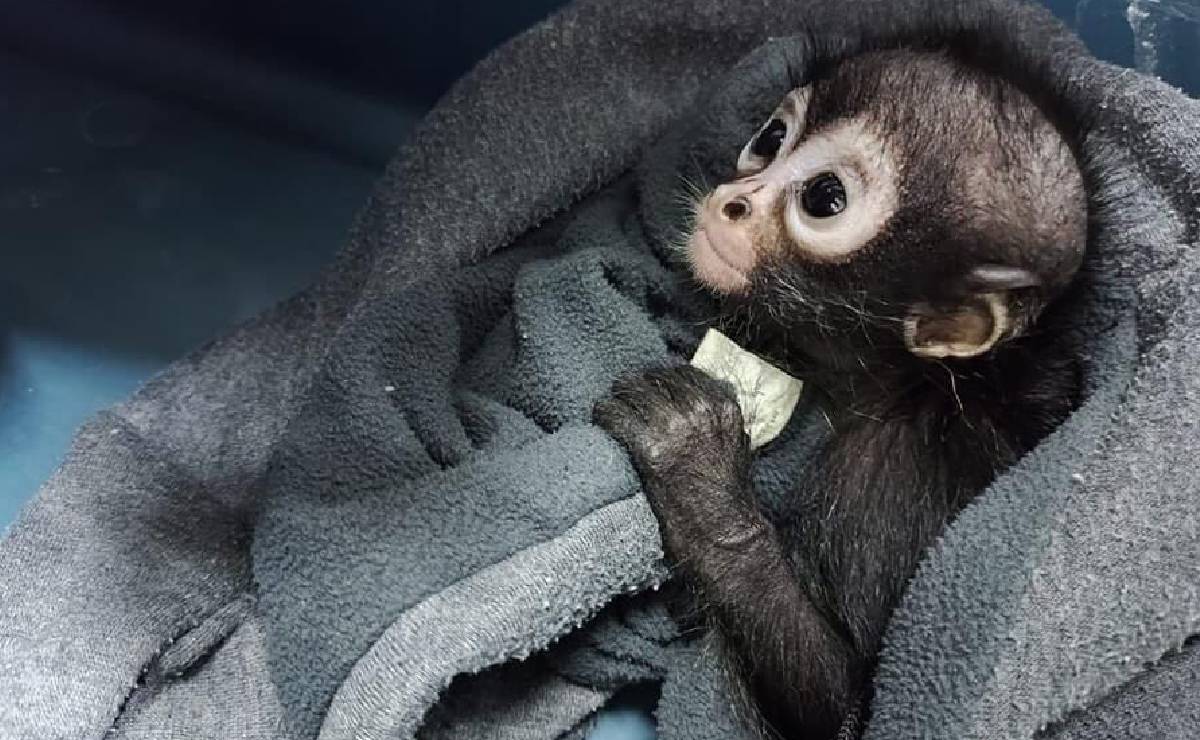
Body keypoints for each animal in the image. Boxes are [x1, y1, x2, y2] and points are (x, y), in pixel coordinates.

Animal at [594, 48, 1088, 738]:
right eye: (771, 138)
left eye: (825, 199)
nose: (734, 203)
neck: (920, 385)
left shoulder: (889, 478)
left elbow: (843, 706)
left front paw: (697, 477)